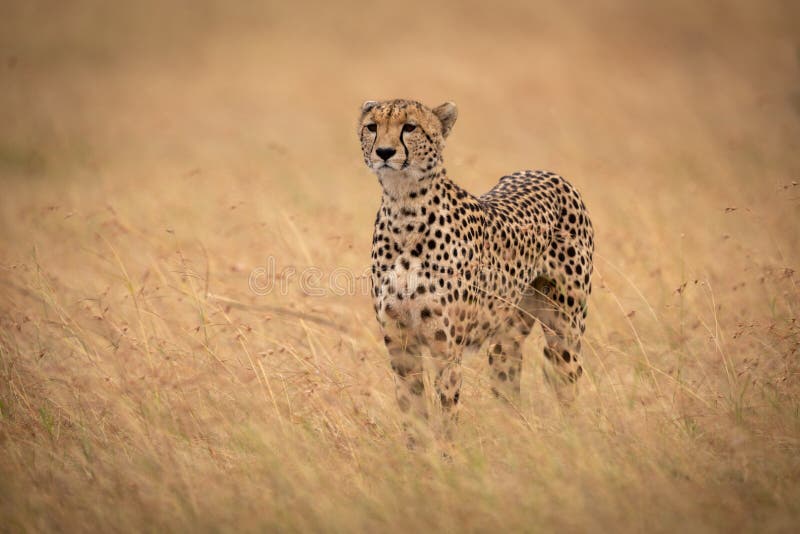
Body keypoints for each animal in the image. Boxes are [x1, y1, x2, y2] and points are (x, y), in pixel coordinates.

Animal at [359, 99, 594, 437]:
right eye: (372, 127)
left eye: (410, 127)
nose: (385, 152)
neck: (404, 210)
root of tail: (546, 172)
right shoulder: (400, 345)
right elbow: (412, 411)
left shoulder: (447, 350)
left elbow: (446, 412)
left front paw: (446, 450)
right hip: (505, 339)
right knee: (509, 391)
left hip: (565, 328)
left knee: (568, 385)